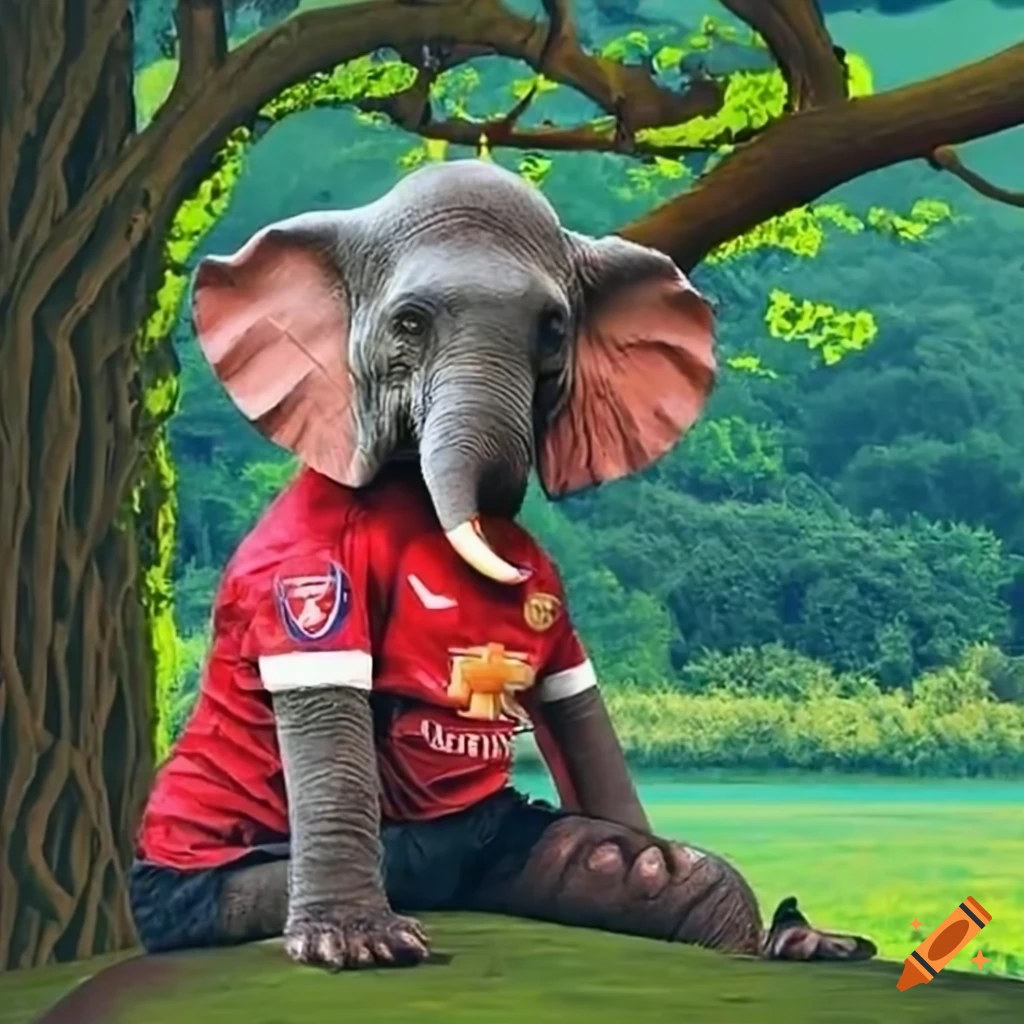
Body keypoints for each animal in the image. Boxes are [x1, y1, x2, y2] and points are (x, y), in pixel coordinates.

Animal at [129, 159, 874, 971]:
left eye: (554, 328)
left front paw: (650, 857)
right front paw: (360, 944)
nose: (517, 572)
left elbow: (577, 707)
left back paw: (770, 927)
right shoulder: (306, 561)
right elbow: (328, 706)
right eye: (409, 323)